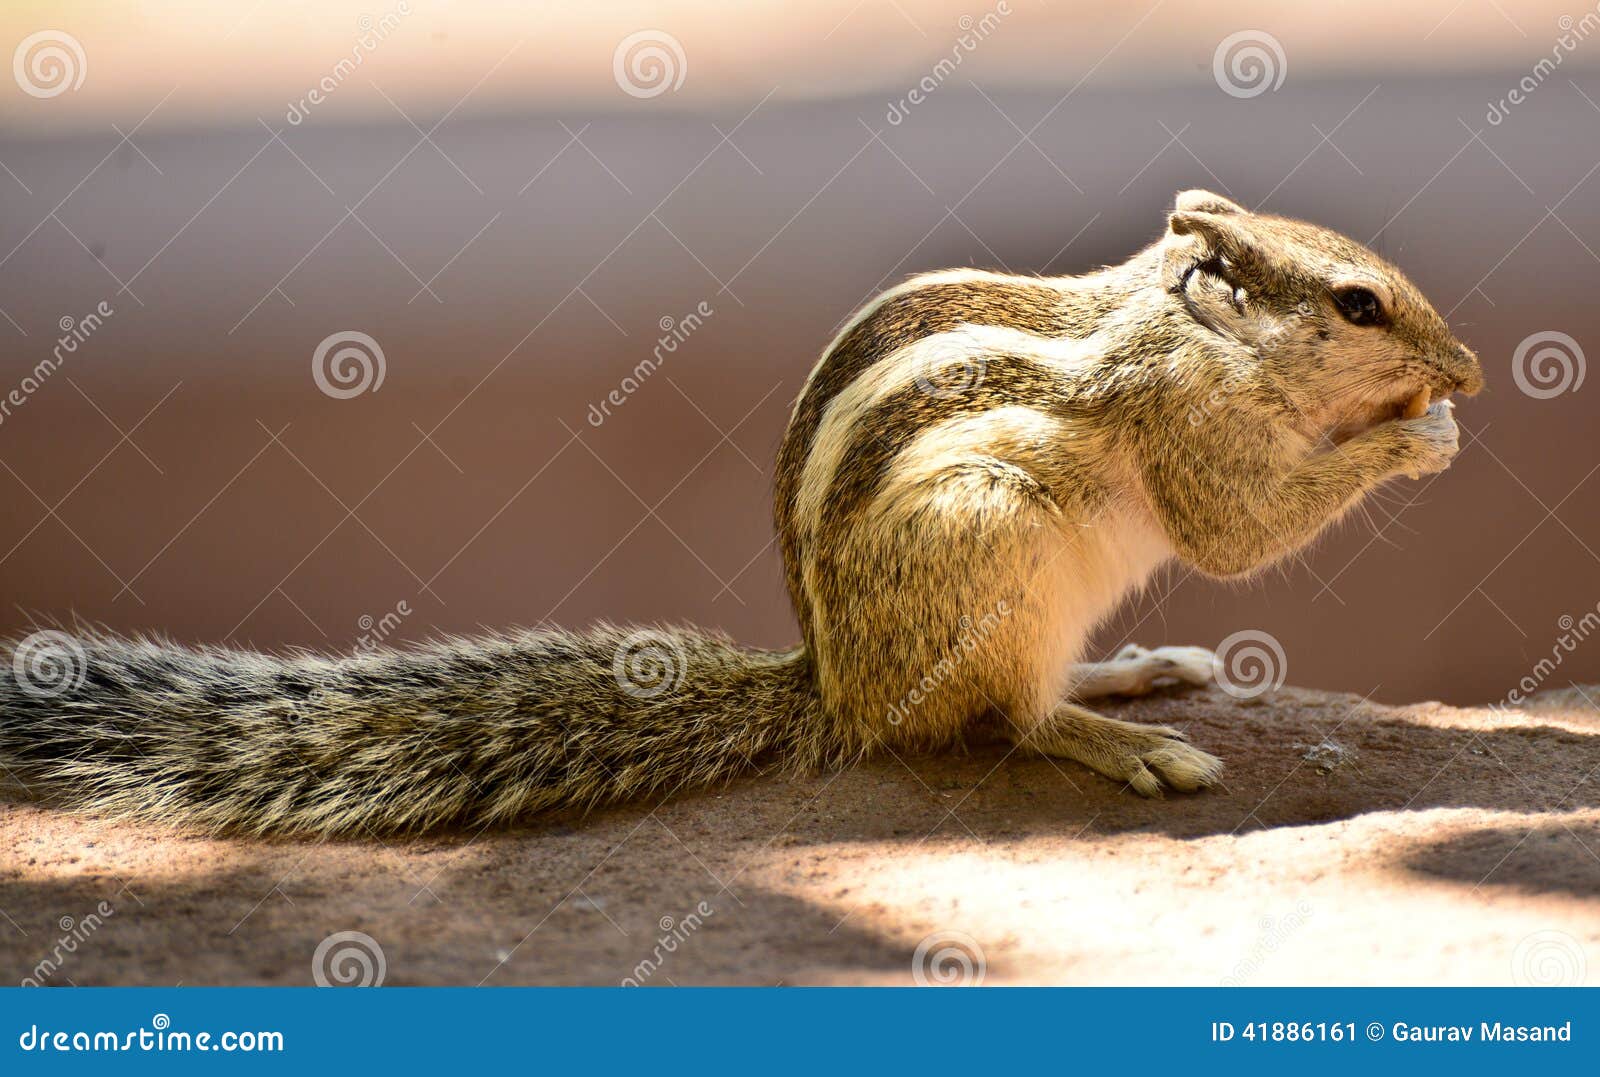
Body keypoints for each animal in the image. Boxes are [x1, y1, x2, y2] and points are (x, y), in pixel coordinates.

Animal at [0, 190, 1482, 836]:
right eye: (1358, 305)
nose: (1467, 367)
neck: (1183, 330)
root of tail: (835, 686)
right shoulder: (1186, 429)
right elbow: (1238, 531)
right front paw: (1417, 439)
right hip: (989, 539)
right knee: (998, 717)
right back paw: (1114, 737)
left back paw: (1129, 674)